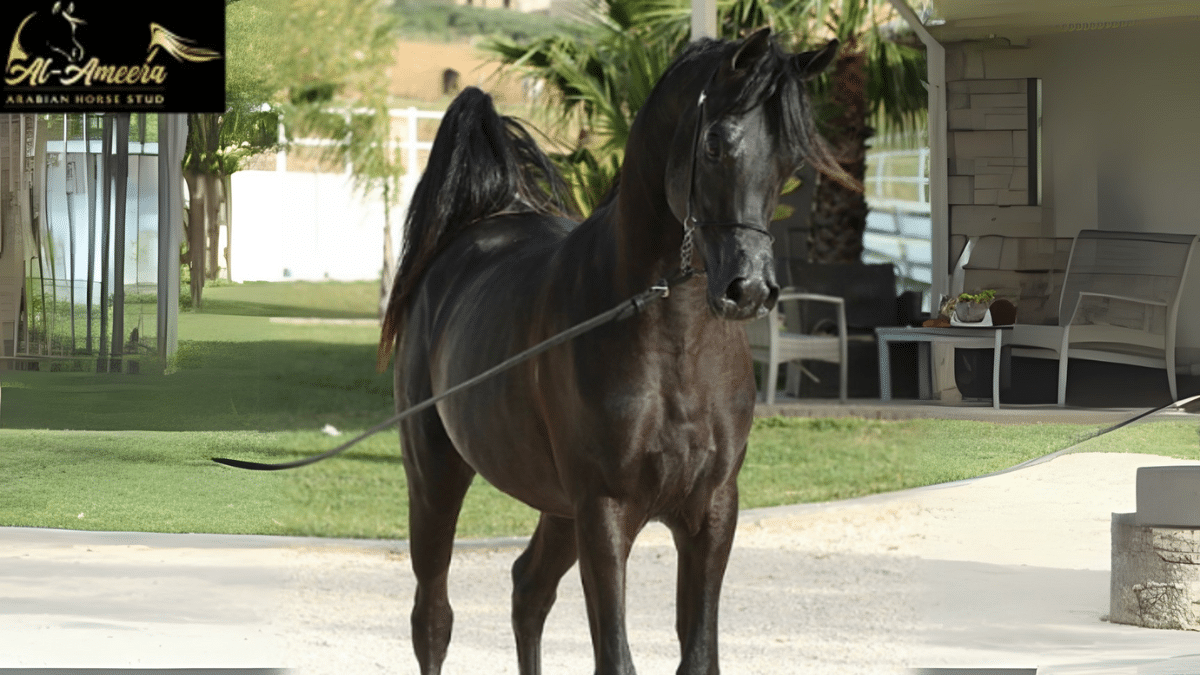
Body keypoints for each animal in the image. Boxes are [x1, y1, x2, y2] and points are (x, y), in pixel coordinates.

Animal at [378, 28, 855, 675]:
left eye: (792, 159)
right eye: (714, 143)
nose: (750, 288)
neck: (674, 348)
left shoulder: (711, 514)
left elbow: (698, 654)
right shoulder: (605, 514)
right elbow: (616, 657)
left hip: (557, 507)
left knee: (528, 590)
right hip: (435, 479)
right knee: (432, 619)